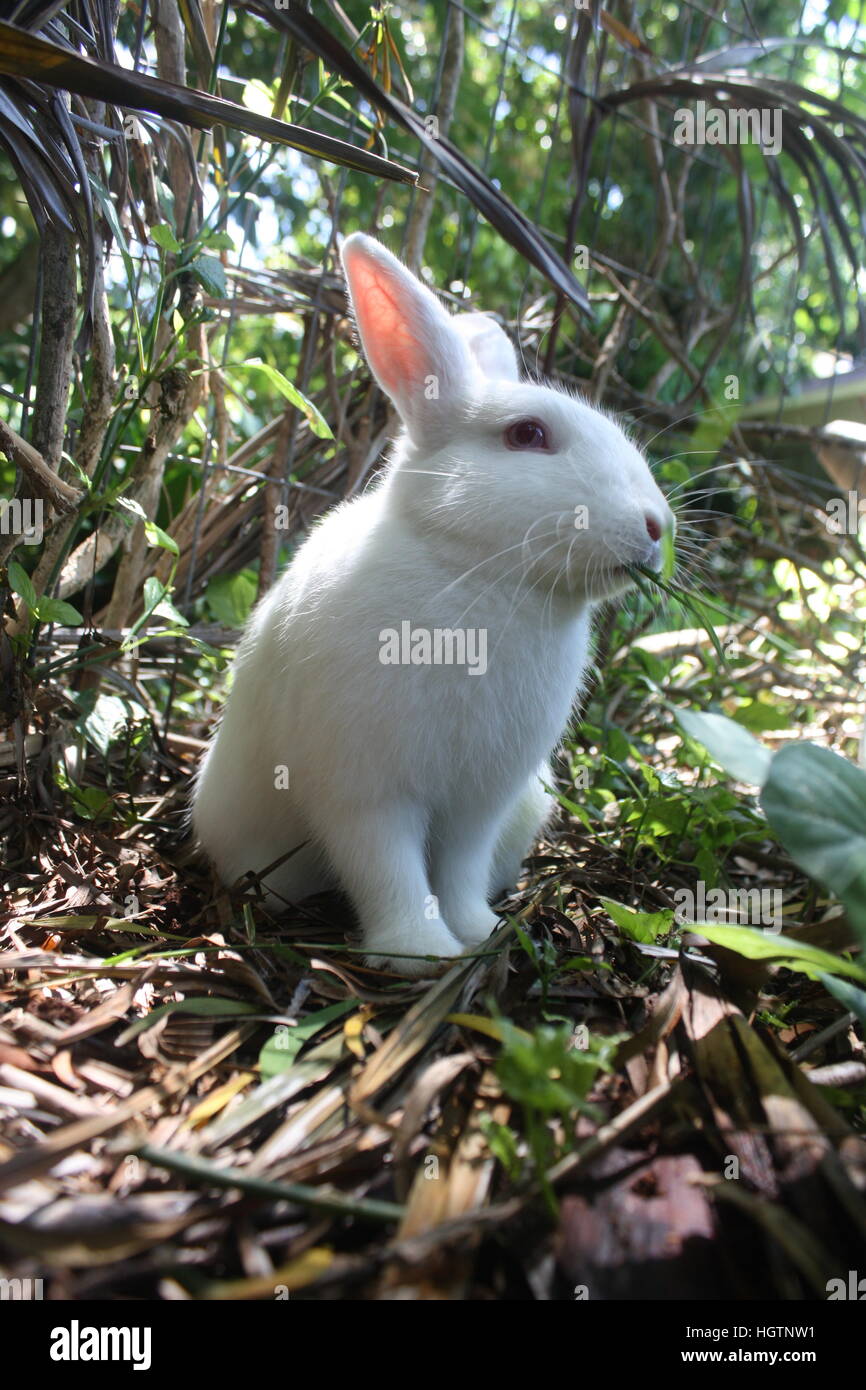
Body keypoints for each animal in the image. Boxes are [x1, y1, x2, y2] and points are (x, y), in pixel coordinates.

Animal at [192, 233, 674, 975]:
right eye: (527, 435)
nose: (657, 526)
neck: (480, 577)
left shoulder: (483, 800)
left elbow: (459, 871)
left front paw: (478, 931)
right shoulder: (364, 793)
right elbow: (389, 870)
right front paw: (418, 952)